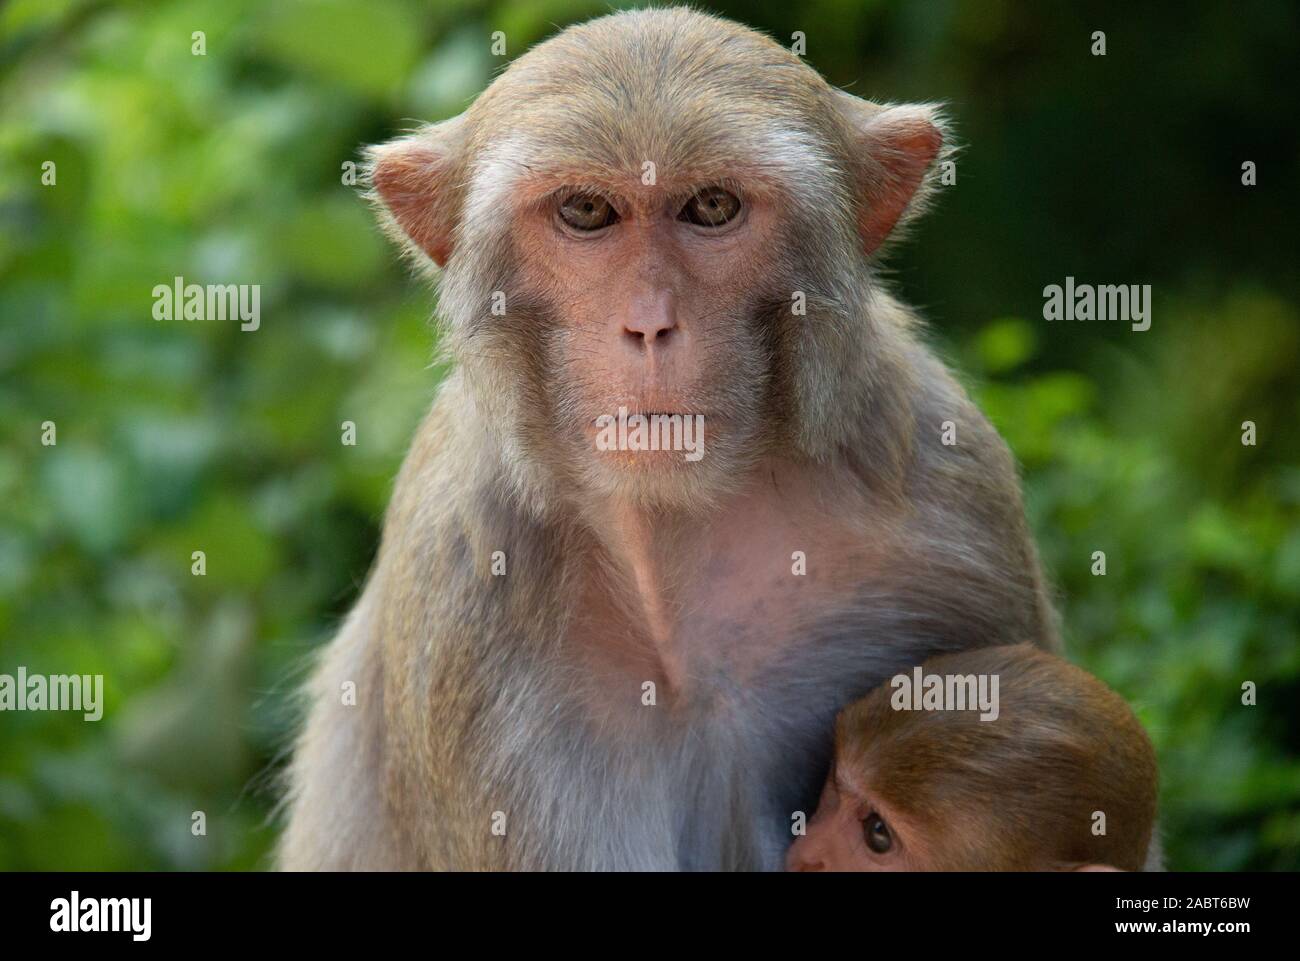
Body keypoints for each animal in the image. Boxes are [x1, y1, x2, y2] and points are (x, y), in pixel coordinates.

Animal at [279, 8, 1061, 871]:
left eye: (712, 206)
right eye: (586, 212)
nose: (650, 324)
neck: (673, 537)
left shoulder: (949, 491)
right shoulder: (463, 596)